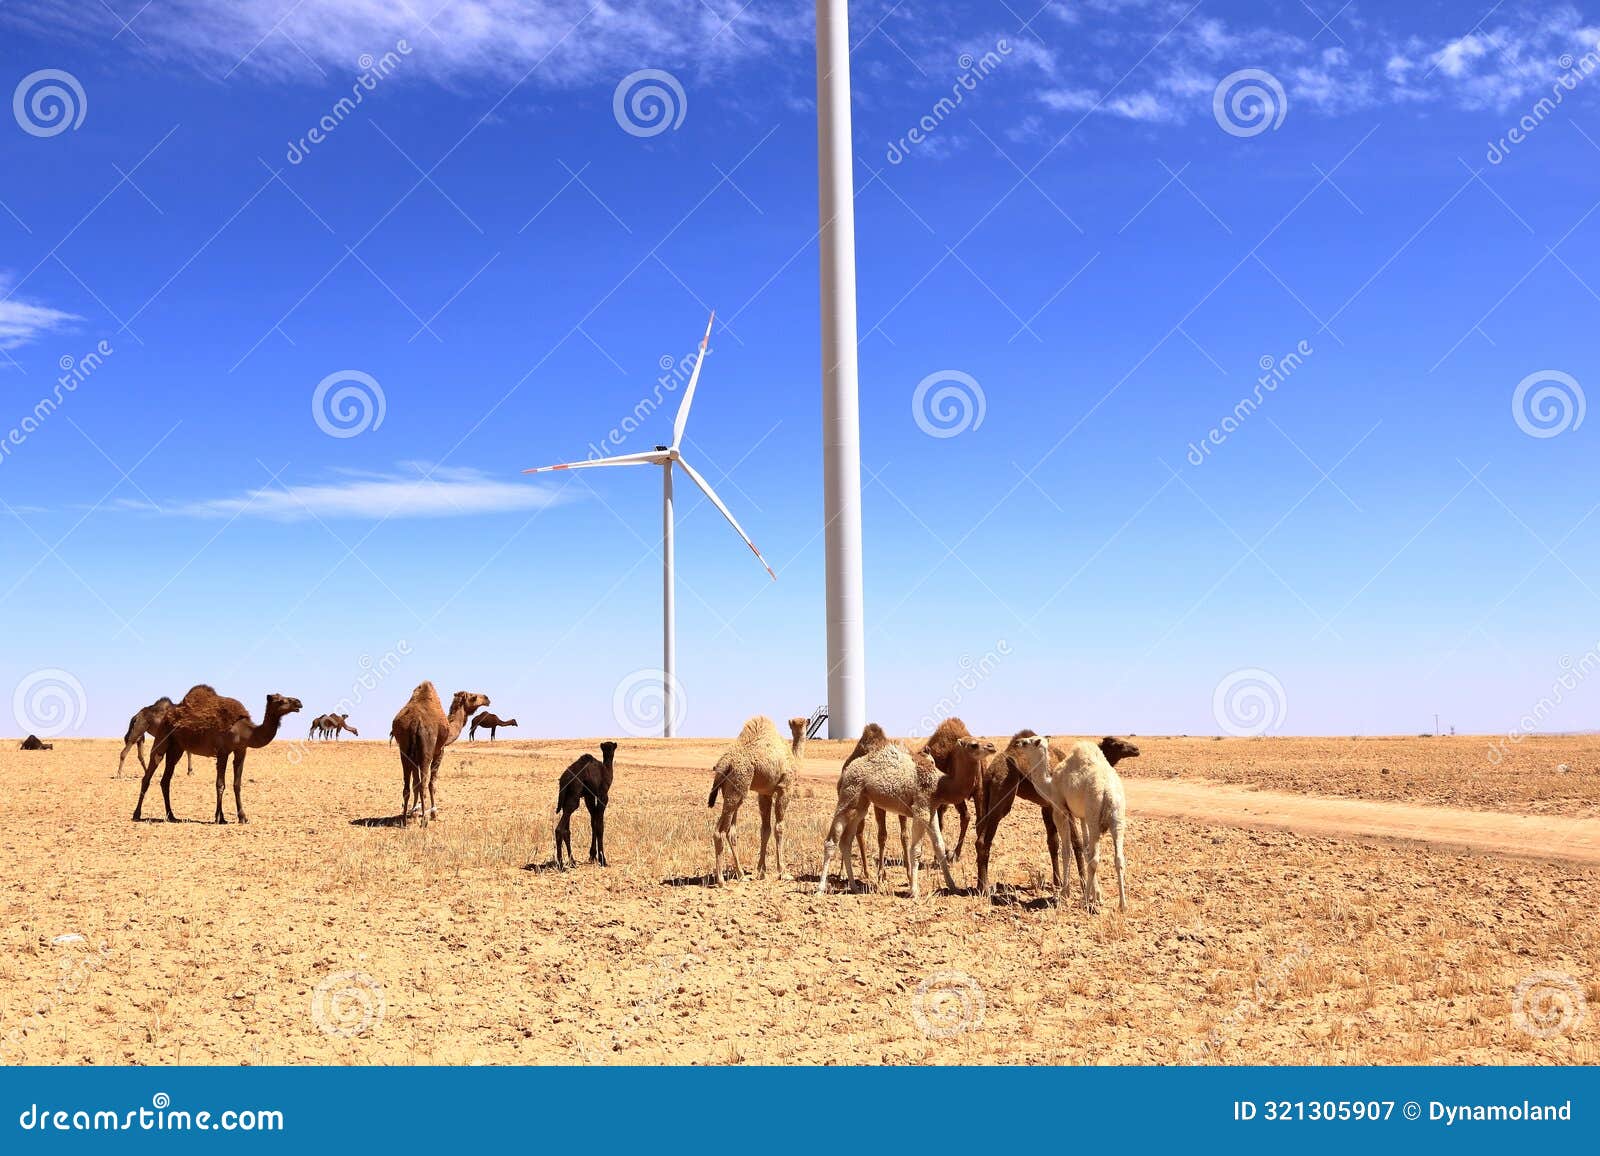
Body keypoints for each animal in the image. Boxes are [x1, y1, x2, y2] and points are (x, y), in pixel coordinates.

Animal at [132, 685, 302, 824]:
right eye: (280, 700)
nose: (298, 702)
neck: (245, 731)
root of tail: (167, 715)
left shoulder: (241, 751)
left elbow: (237, 784)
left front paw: (243, 817)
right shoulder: (223, 751)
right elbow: (220, 784)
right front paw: (220, 817)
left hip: (177, 748)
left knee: (165, 780)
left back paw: (171, 816)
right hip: (162, 737)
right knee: (149, 774)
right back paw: (136, 814)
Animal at [389, 682, 489, 827]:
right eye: (473, 696)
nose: (487, 698)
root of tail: (414, 722)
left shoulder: (414, 757)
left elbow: (415, 784)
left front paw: (414, 814)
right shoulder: (439, 751)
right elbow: (432, 784)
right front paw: (433, 814)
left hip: (403, 749)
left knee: (407, 787)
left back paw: (404, 820)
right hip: (427, 750)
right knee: (424, 785)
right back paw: (424, 820)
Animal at [704, 716, 802, 884]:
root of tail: (724, 764)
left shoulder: (764, 793)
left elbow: (765, 829)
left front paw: (761, 872)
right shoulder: (785, 788)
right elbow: (779, 827)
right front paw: (783, 872)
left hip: (731, 790)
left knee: (731, 831)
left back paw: (741, 875)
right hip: (739, 785)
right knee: (720, 831)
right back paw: (721, 879)